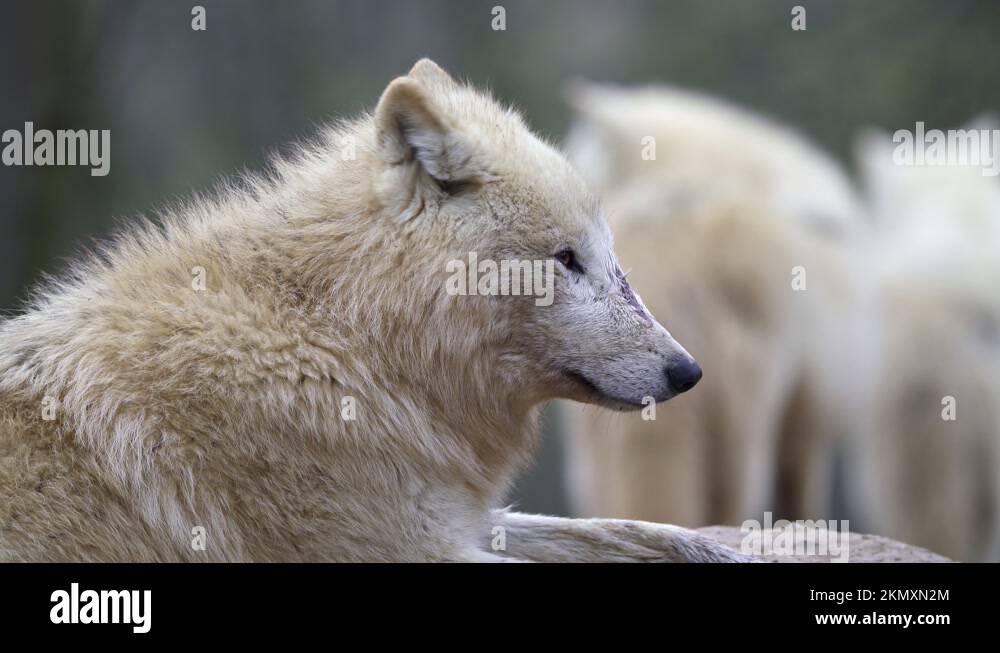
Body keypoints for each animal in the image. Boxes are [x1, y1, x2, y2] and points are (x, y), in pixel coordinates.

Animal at [0, 60, 746, 562]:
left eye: (608, 254)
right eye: (566, 258)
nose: (688, 372)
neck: (343, 339)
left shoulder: (456, 517)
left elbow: (637, 531)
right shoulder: (413, 545)